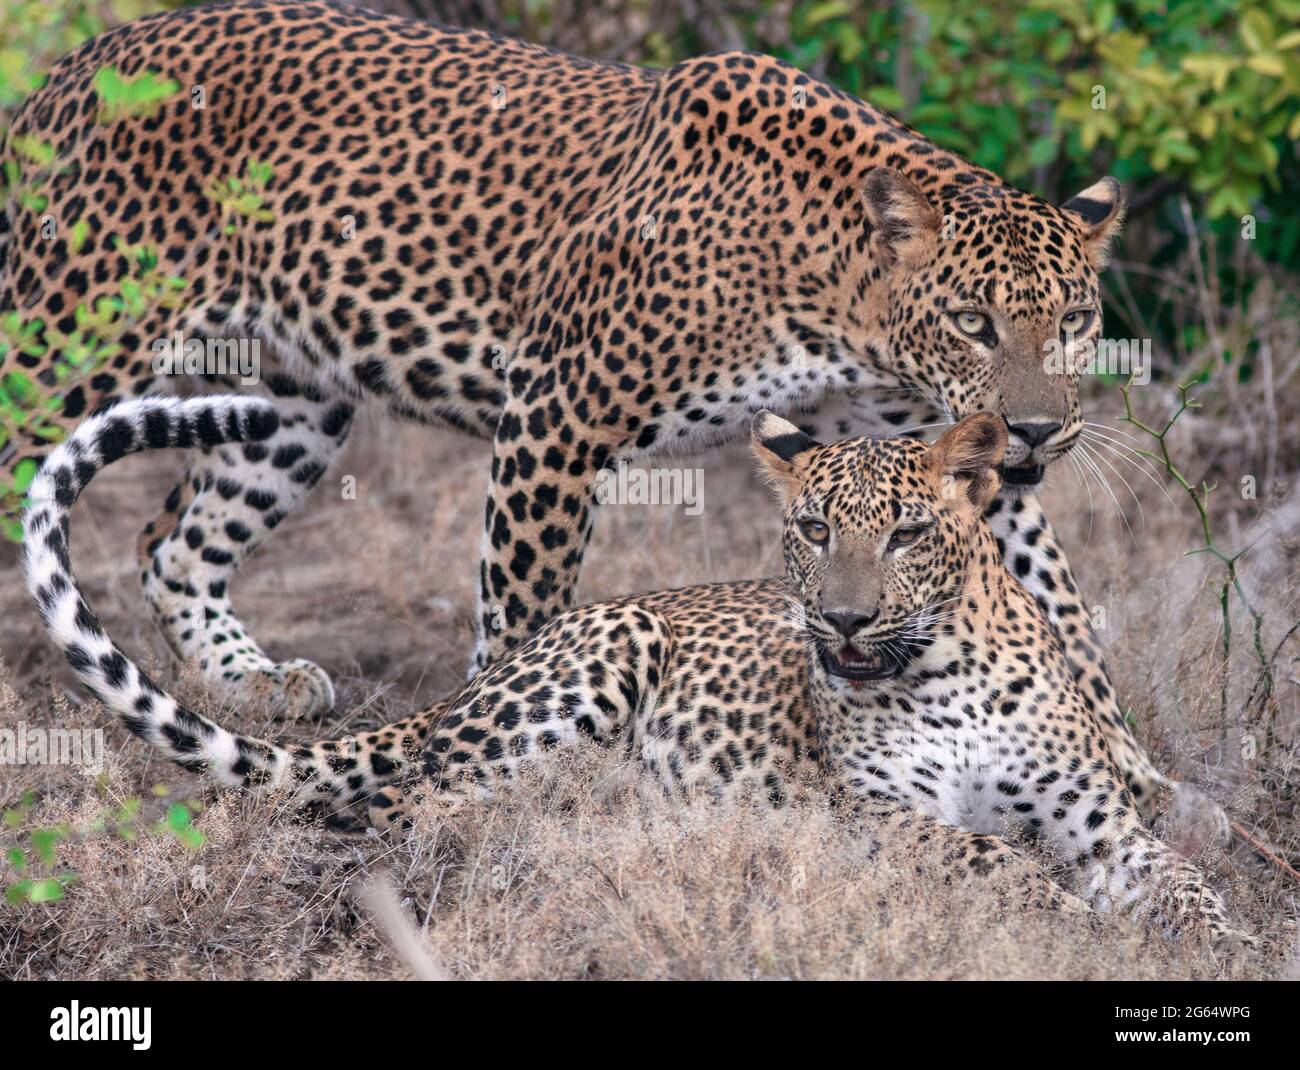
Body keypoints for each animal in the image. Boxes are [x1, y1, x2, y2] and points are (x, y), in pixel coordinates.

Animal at [2, 0, 1198, 830]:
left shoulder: (940, 455)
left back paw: (253, 679)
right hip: (66, 342)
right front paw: (509, 761)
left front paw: (1131, 766)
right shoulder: (557, 414)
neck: (842, 303)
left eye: (1076, 320)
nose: (1039, 433)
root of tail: (69, 71)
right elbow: (522, 615)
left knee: (174, 540)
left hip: (295, 402)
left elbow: (1058, 604)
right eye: (972, 321)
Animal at [21, 393, 1252, 949]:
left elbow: (1183, 882)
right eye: (812, 529)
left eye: (906, 534)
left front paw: (1224, 939)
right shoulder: (873, 818)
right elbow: (991, 858)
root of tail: (466, 689)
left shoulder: (1098, 819)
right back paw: (608, 814)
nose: (844, 621)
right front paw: (1069, 920)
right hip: (604, 651)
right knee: (419, 799)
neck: (941, 668)